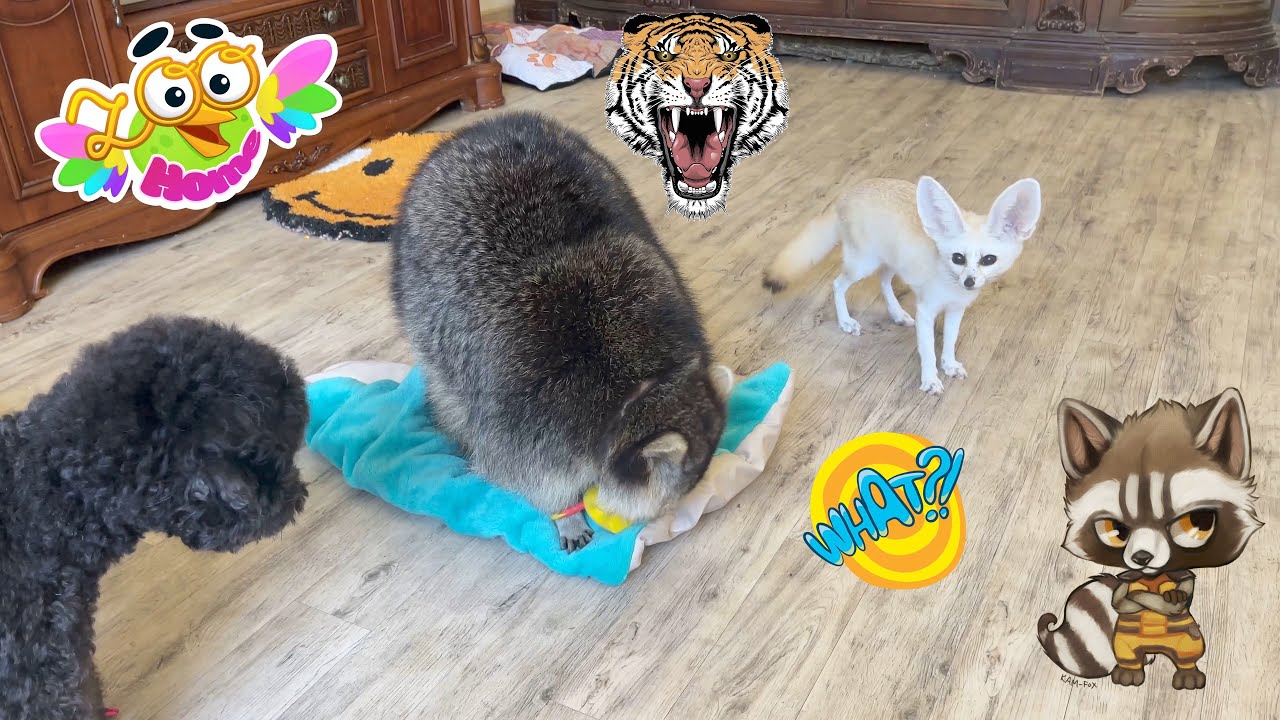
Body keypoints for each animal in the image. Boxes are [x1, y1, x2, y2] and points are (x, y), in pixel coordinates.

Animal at [390, 112, 731, 552]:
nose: (678, 515)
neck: (642, 386)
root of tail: (481, 127)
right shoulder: (528, 415)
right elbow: (529, 474)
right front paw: (565, 512)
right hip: (414, 288)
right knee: (447, 385)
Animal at [1038, 389, 1261, 689]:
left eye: (1196, 523)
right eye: (1115, 530)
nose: (1141, 558)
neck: (1153, 577)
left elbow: (1181, 591)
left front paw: (1172, 594)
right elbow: (1123, 597)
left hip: (1186, 639)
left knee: (1189, 650)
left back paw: (1187, 673)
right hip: (1123, 641)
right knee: (1127, 652)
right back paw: (1130, 671)